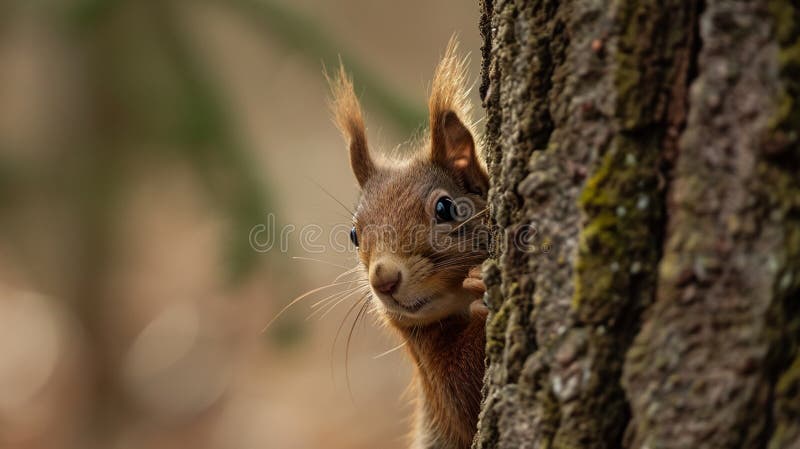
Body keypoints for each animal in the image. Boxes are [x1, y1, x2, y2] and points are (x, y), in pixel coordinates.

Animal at [329, 39, 490, 449]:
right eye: (354, 235)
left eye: (445, 208)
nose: (383, 279)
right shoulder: (434, 372)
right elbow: (467, 397)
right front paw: (482, 285)